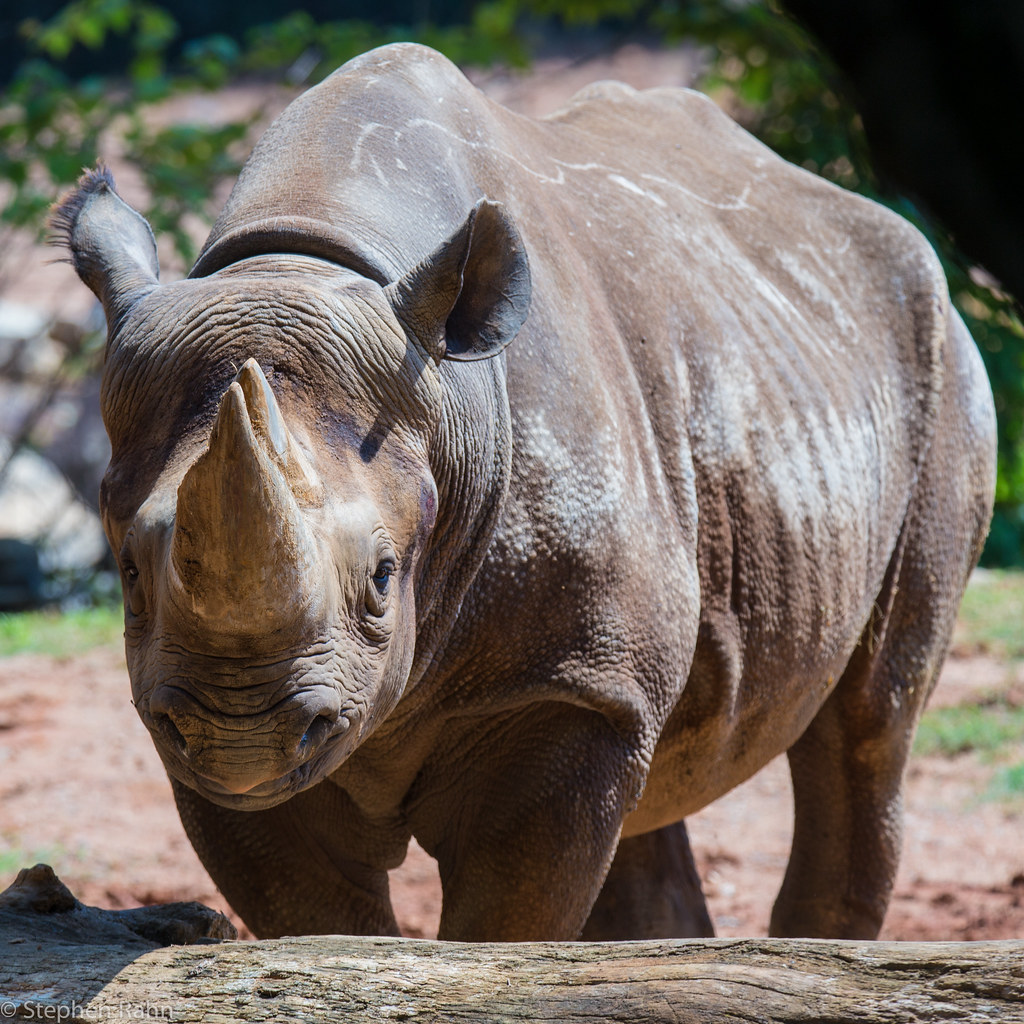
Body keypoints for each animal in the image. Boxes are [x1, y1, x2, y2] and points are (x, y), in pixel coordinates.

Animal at [52, 43, 995, 942]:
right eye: (129, 573)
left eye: (385, 576)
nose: (240, 734)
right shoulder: (193, 727)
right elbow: (315, 917)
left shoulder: (564, 689)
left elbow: (506, 924)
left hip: (938, 359)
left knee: (869, 726)